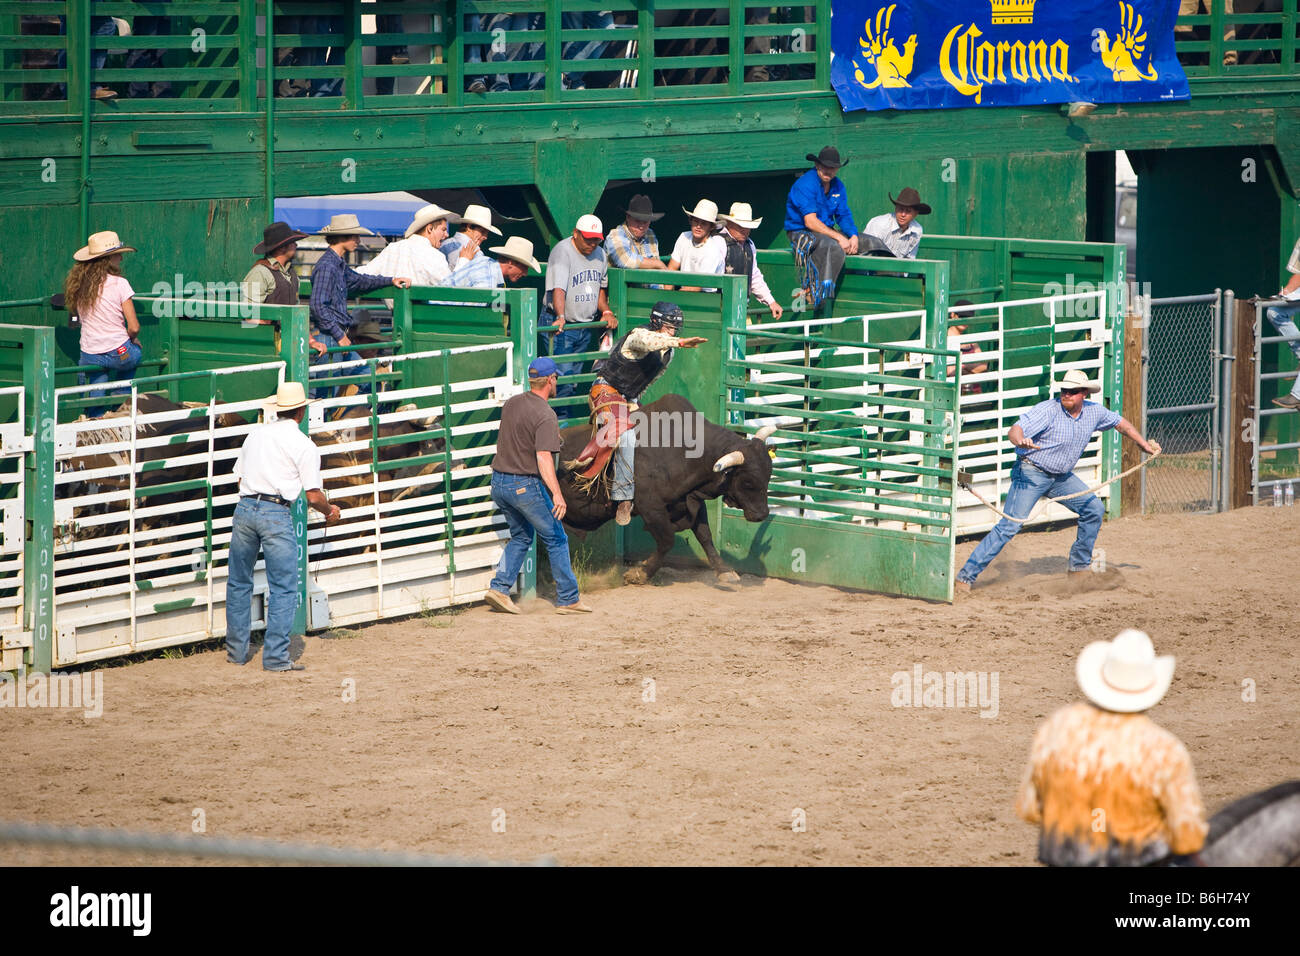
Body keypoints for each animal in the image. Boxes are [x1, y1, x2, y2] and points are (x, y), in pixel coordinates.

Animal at [557, 393, 775, 588]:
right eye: (748, 482)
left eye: (769, 474)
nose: (762, 514)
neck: (681, 450)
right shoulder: (651, 507)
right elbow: (667, 540)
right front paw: (640, 574)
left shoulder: (691, 499)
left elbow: (705, 535)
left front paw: (725, 571)